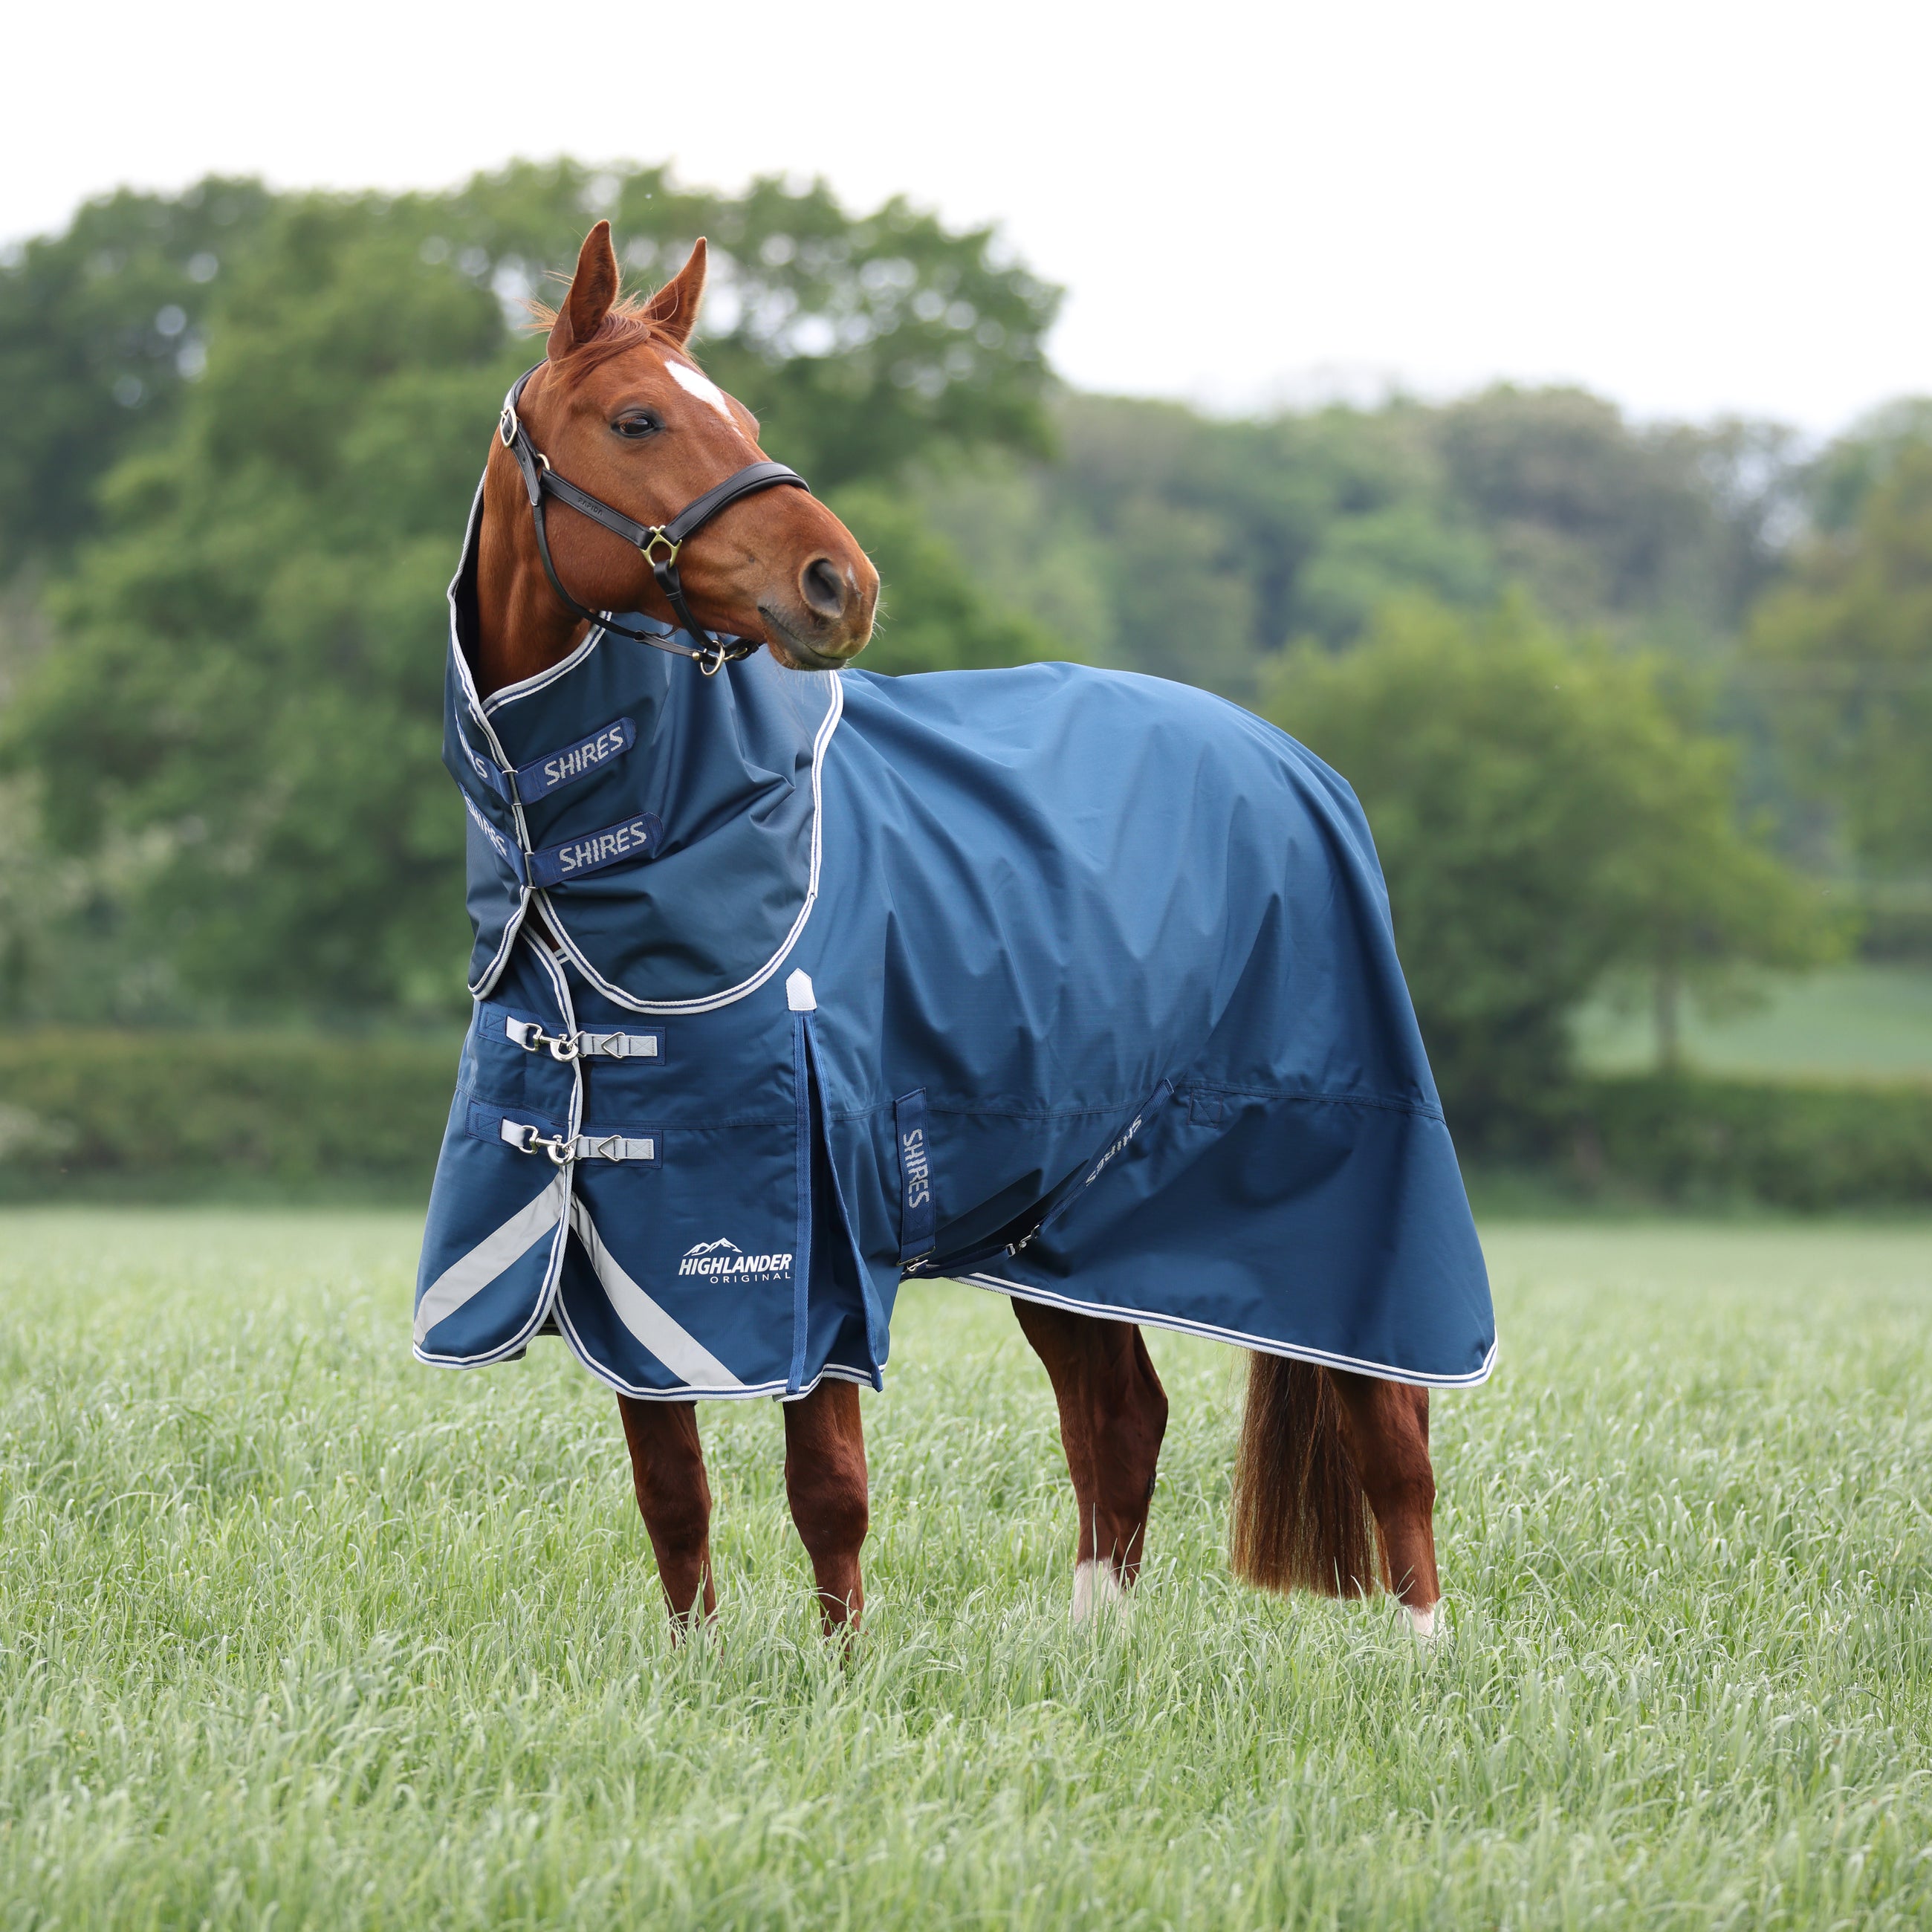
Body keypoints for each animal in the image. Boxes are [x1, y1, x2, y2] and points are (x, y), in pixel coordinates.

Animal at [420, 220, 1493, 1640]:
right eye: (639, 418)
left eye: (742, 415)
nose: (841, 584)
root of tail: (1298, 765)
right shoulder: (629, 1251)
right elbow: (673, 1492)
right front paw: (697, 1663)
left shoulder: (812, 1224)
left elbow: (826, 1486)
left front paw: (840, 1668)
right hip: (1064, 1222)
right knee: (1121, 1419)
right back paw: (1099, 1647)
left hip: (1346, 1177)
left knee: (1391, 1425)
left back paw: (1423, 1655)